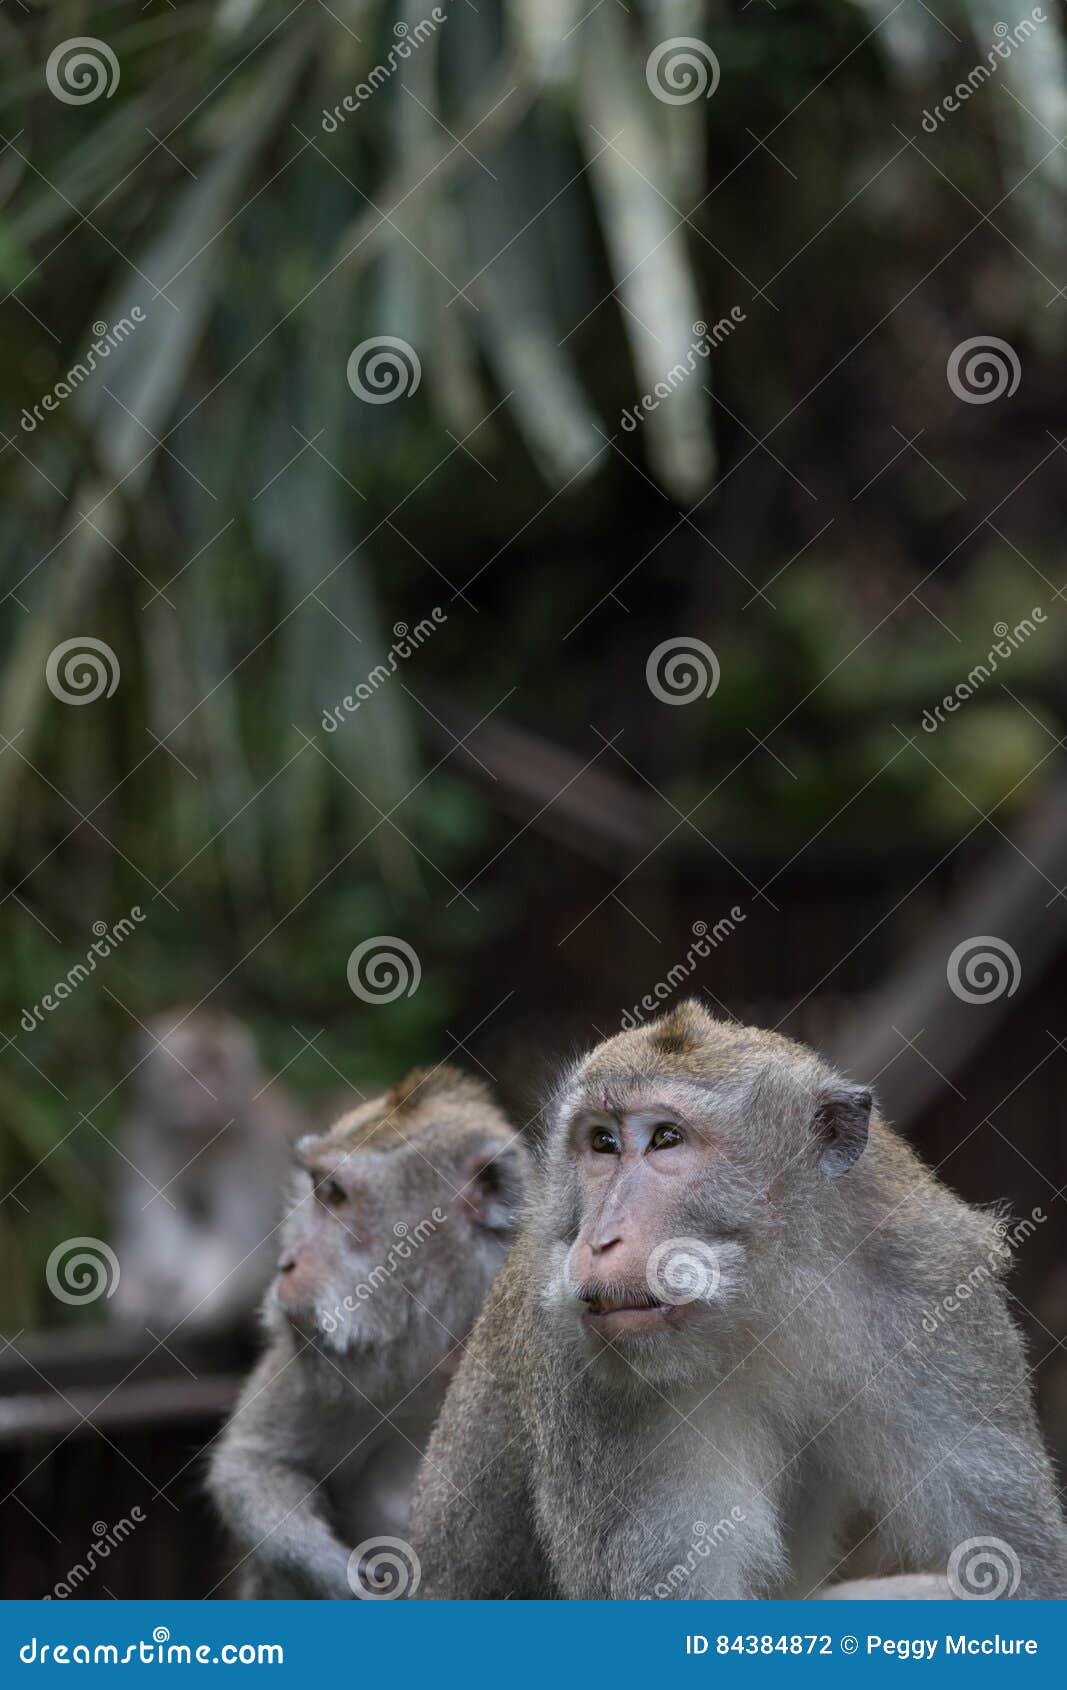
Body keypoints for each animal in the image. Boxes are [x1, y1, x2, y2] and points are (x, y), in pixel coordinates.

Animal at [112, 1009, 305, 1335]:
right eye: (196, 1070)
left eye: (221, 1072)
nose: (211, 1095)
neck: (199, 1138)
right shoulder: (148, 1141)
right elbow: (155, 1218)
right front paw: (152, 1293)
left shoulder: (250, 1154)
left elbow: (238, 1239)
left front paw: (188, 1305)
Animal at [410, 1000, 1067, 1600]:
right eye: (601, 1142)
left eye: (666, 1139)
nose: (599, 1240)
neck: (769, 1296)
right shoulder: (592, 1372)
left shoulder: (929, 1281)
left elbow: (1014, 1566)